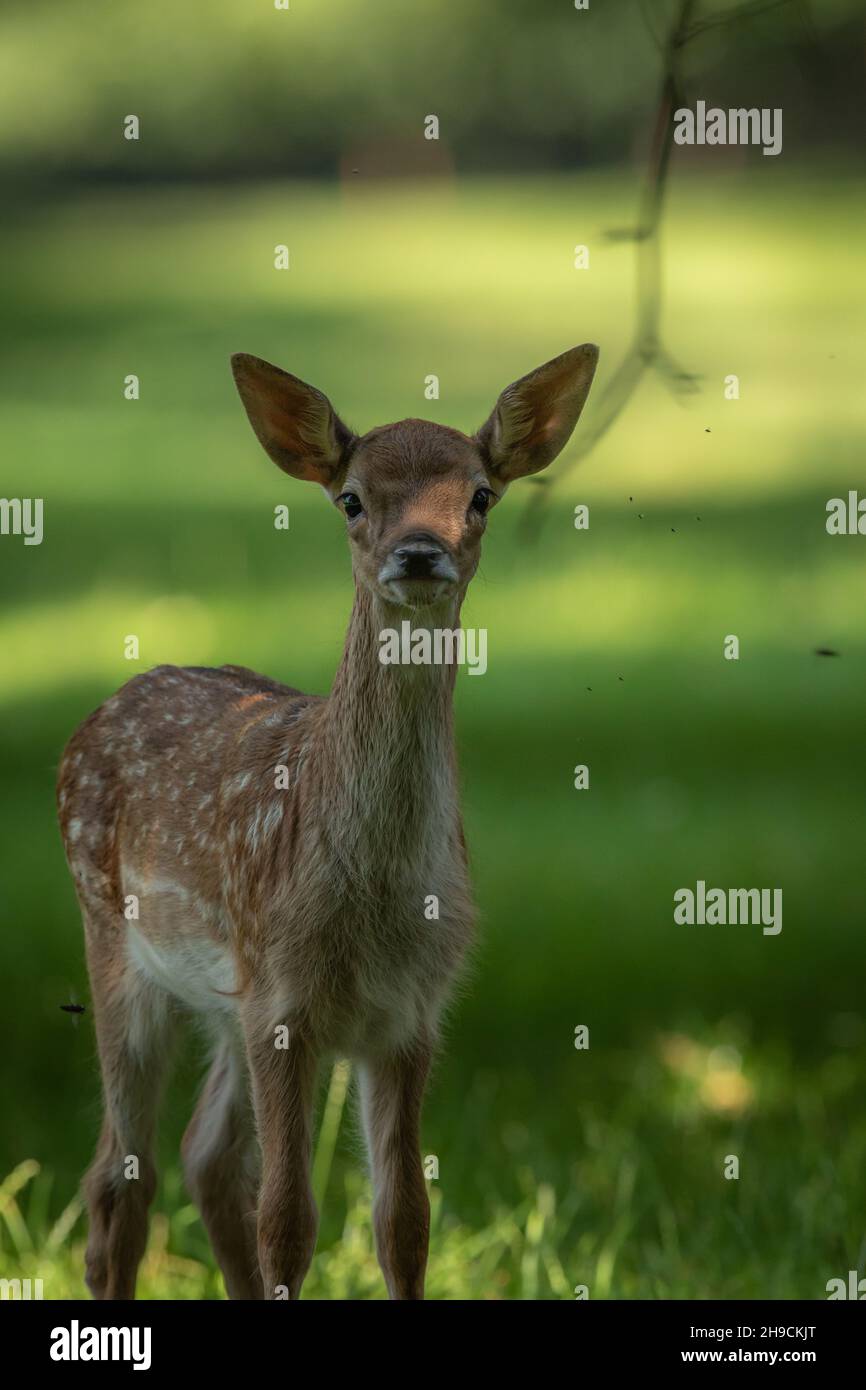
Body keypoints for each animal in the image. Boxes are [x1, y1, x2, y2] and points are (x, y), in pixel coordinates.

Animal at [56, 342, 599, 1301]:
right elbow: (289, 1219)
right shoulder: (284, 1003)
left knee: (204, 1154)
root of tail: (104, 706)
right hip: (117, 946)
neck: (374, 898)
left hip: (225, 1001)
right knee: (121, 1175)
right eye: (351, 497)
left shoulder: (410, 1016)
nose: (418, 552)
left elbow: (404, 1220)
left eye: (480, 495)